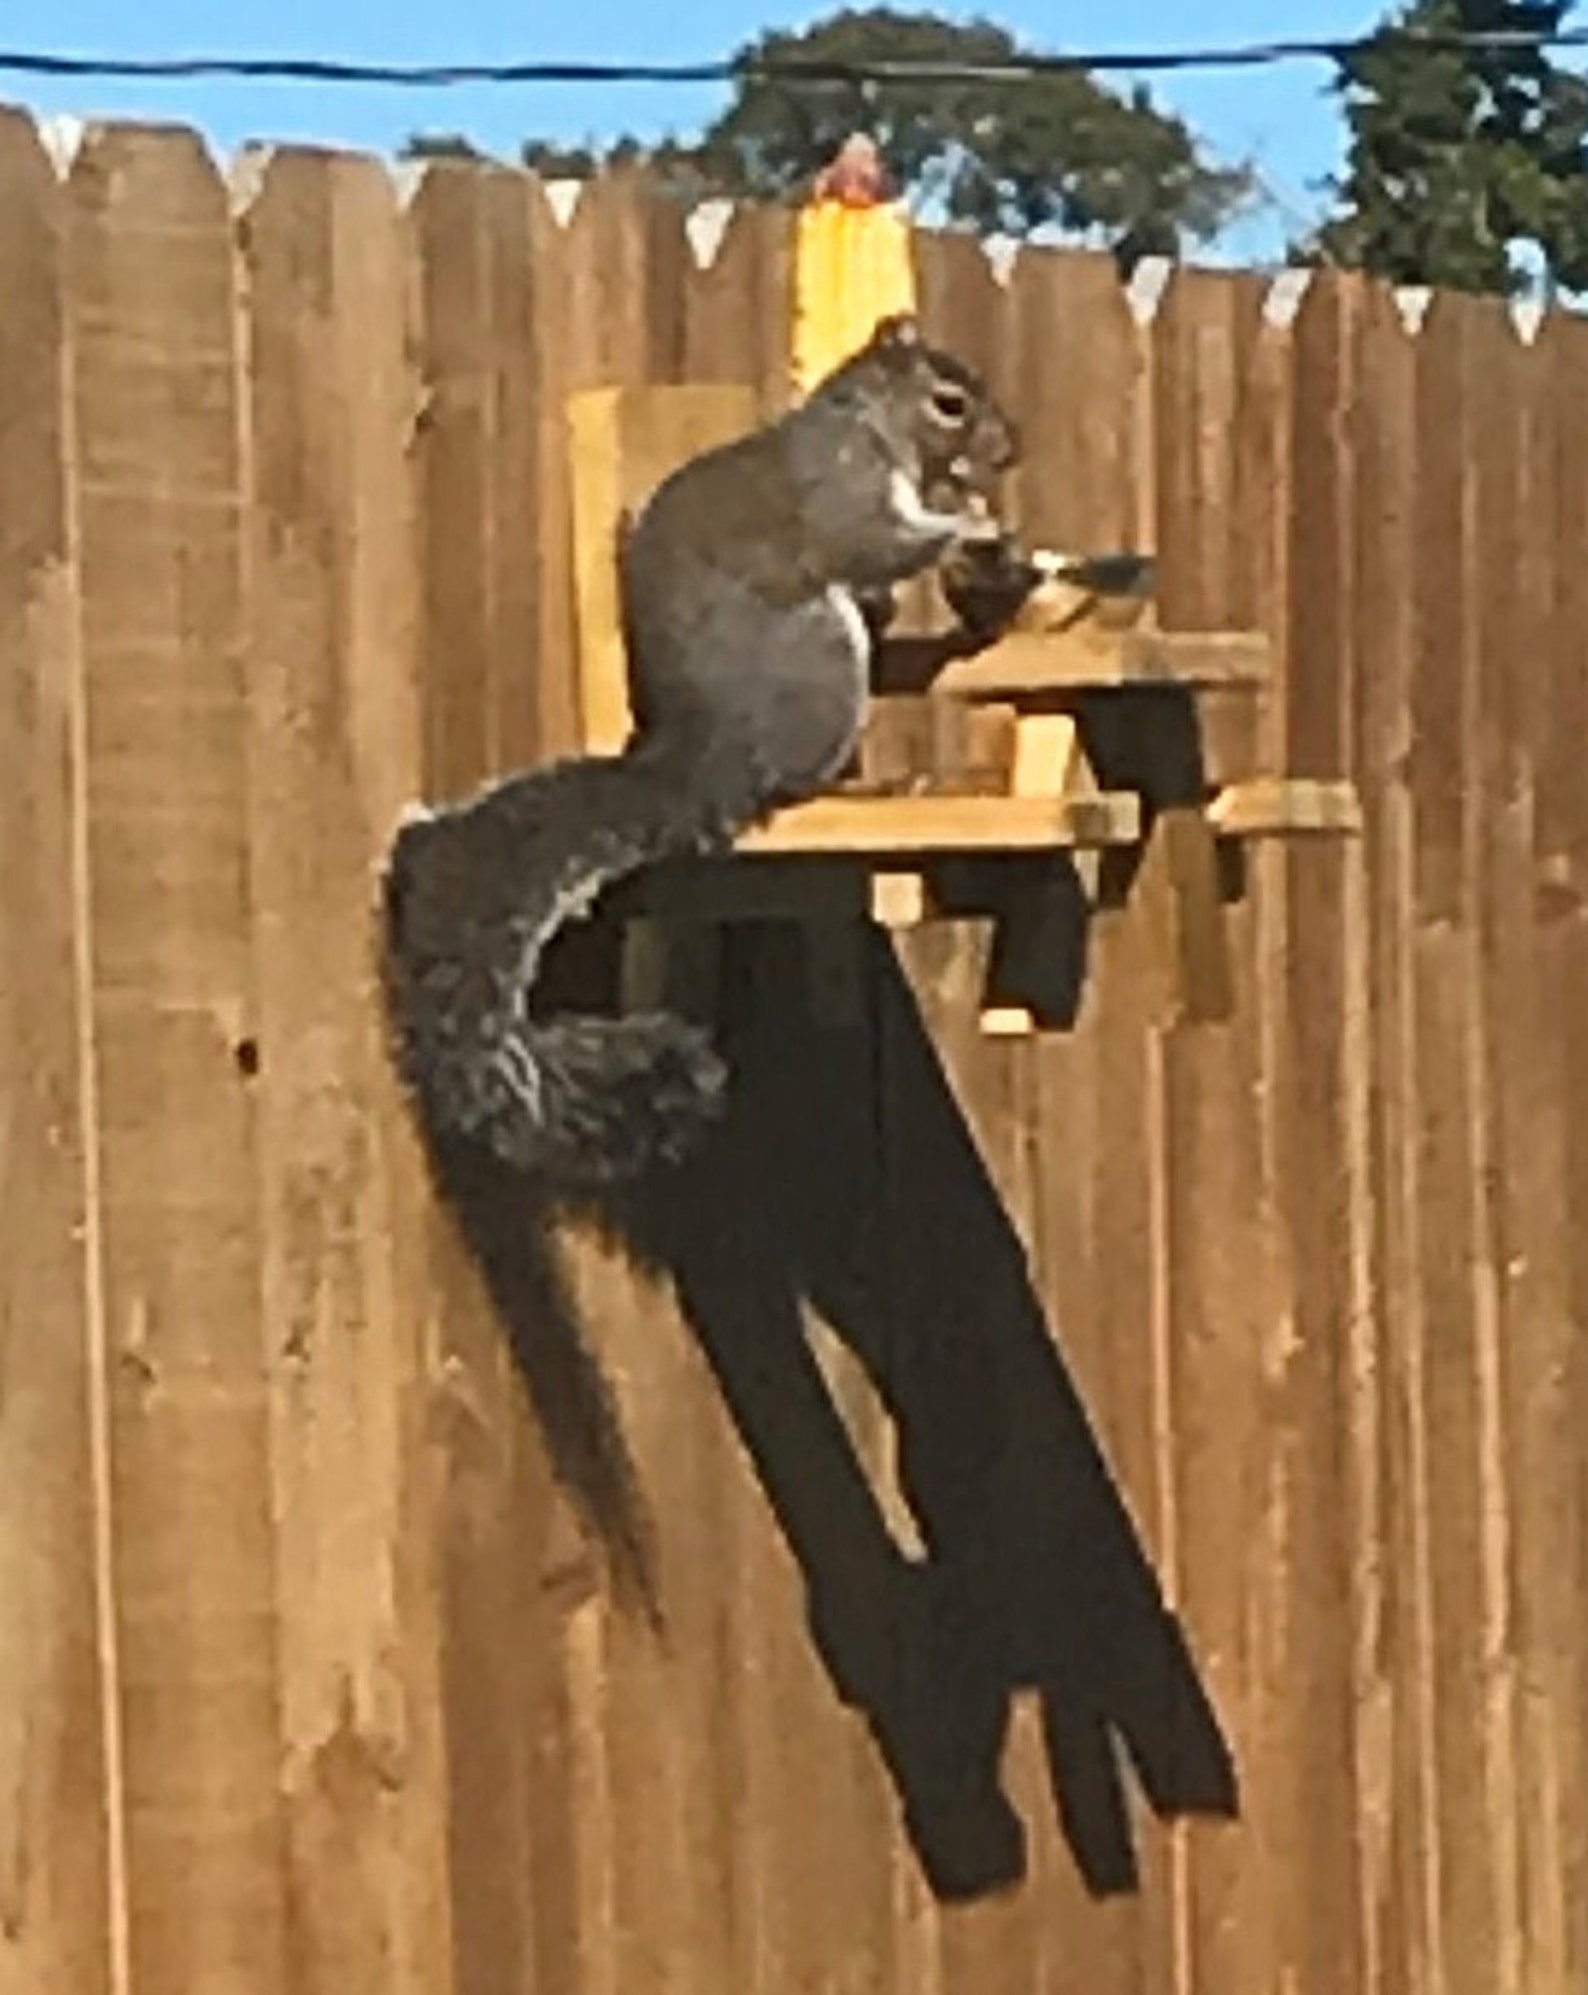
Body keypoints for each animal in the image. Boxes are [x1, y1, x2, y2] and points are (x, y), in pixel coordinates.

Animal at [379, 313, 1019, 1191]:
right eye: (951, 401)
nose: (1009, 451)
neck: (872, 423)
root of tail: (703, 760)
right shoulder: (841, 485)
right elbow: (875, 543)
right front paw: (969, 527)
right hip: (820, 661)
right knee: (786, 778)